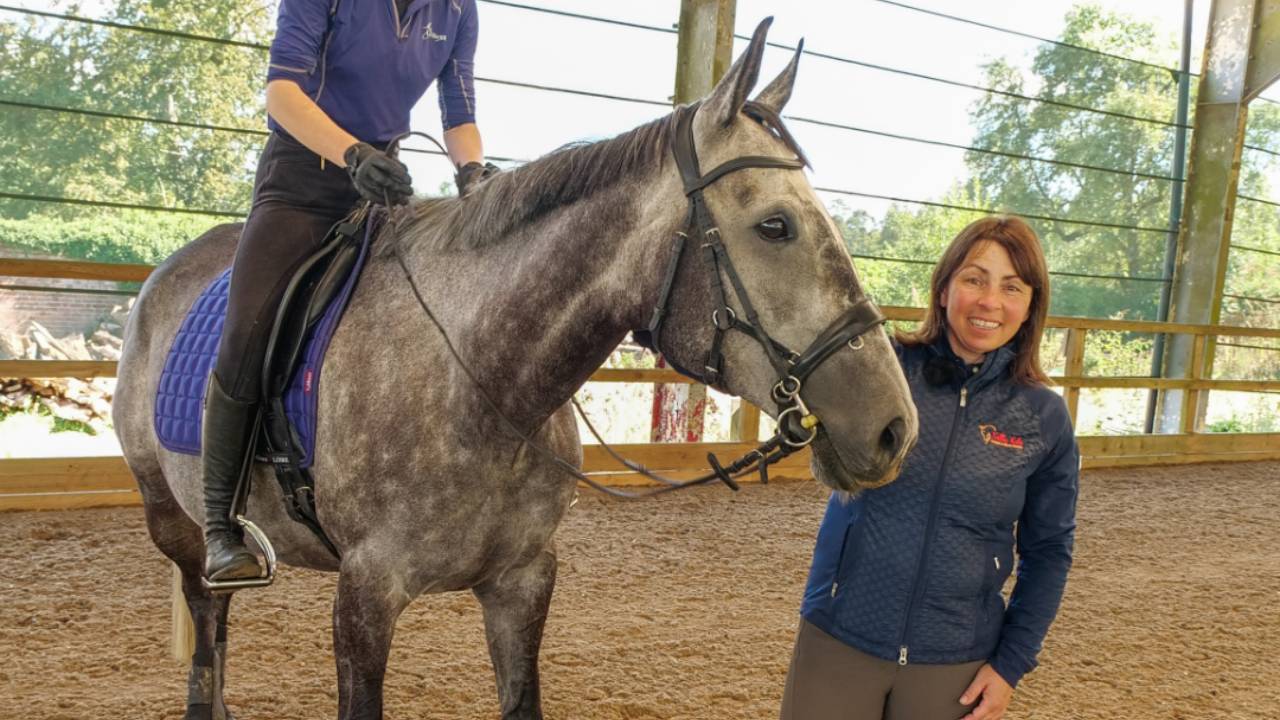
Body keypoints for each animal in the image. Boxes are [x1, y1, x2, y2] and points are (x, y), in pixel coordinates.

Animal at [112, 19, 917, 720]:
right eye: (775, 225)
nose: (893, 428)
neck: (477, 384)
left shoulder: (521, 582)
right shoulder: (365, 596)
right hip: (175, 521)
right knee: (206, 613)